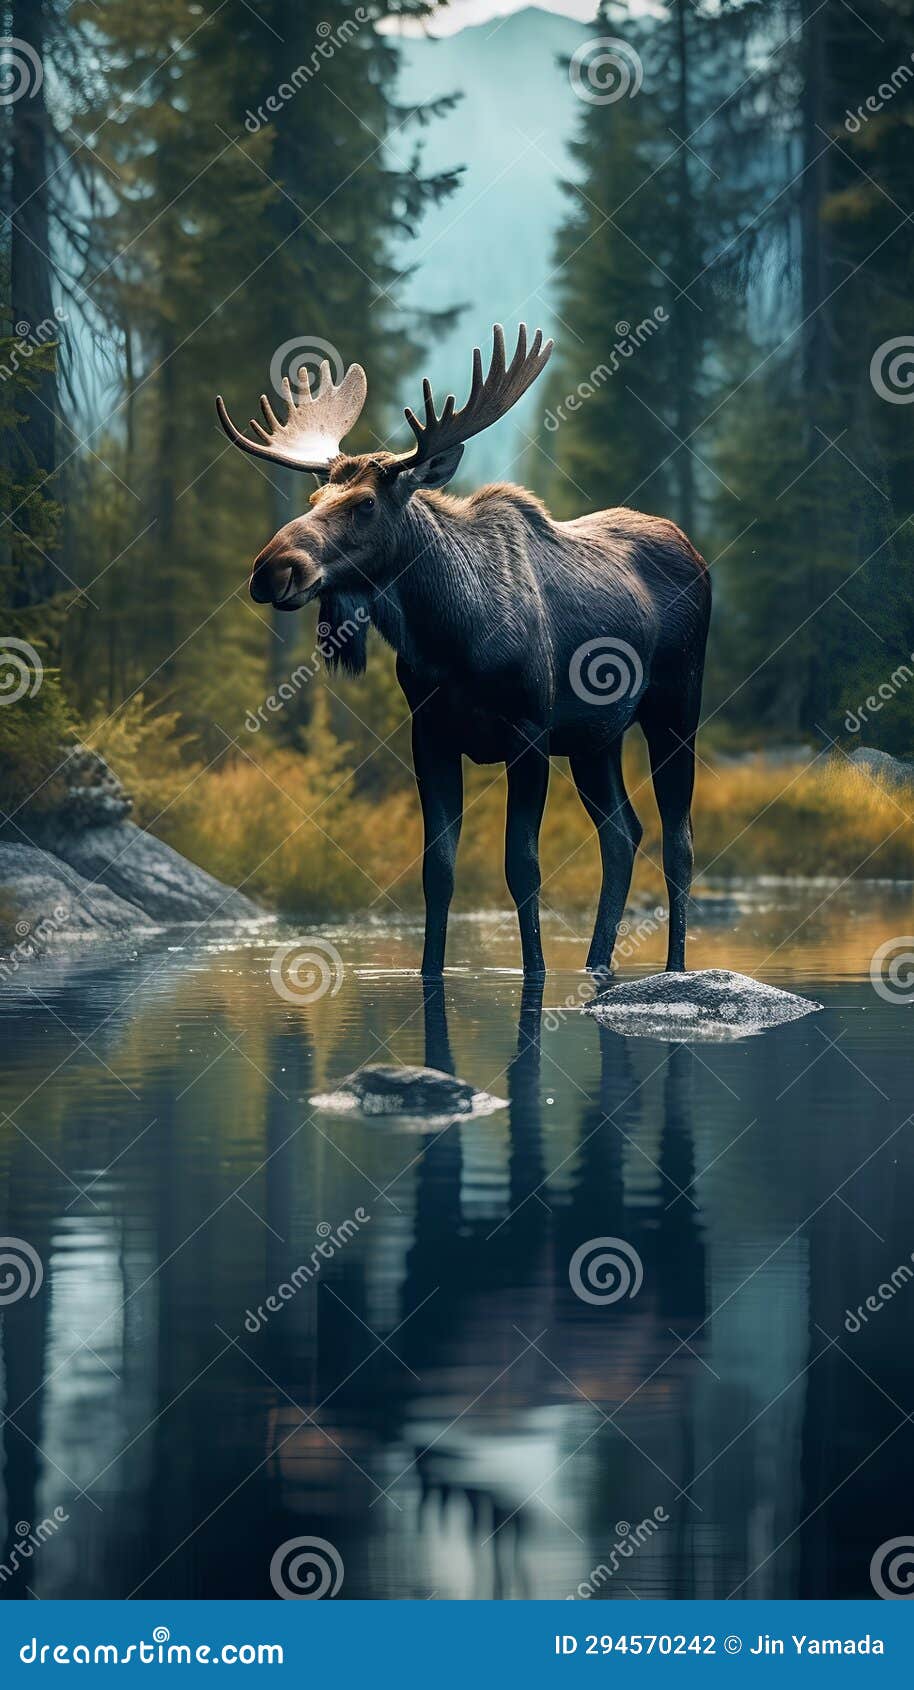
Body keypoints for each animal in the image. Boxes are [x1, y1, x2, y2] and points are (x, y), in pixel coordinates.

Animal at [217, 325, 711, 980]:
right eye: (315, 498)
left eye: (364, 504)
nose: (271, 569)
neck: (450, 634)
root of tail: (696, 553)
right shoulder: (430, 734)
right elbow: (438, 871)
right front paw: (431, 972)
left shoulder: (528, 733)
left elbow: (521, 867)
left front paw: (535, 972)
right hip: (595, 740)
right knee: (622, 834)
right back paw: (596, 963)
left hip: (675, 708)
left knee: (678, 839)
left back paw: (675, 967)